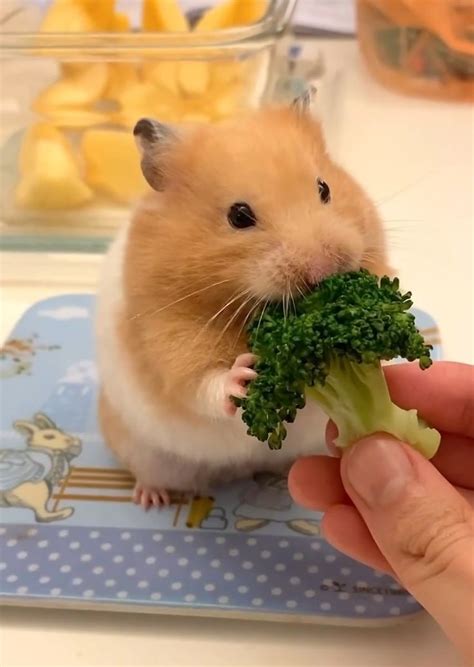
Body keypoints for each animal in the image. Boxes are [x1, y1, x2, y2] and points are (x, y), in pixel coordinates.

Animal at [96, 89, 390, 508]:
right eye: (239, 216)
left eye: (324, 188)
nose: (323, 270)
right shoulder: (166, 335)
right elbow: (200, 383)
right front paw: (244, 378)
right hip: (138, 447)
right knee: (148, 473)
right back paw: (151, 498)